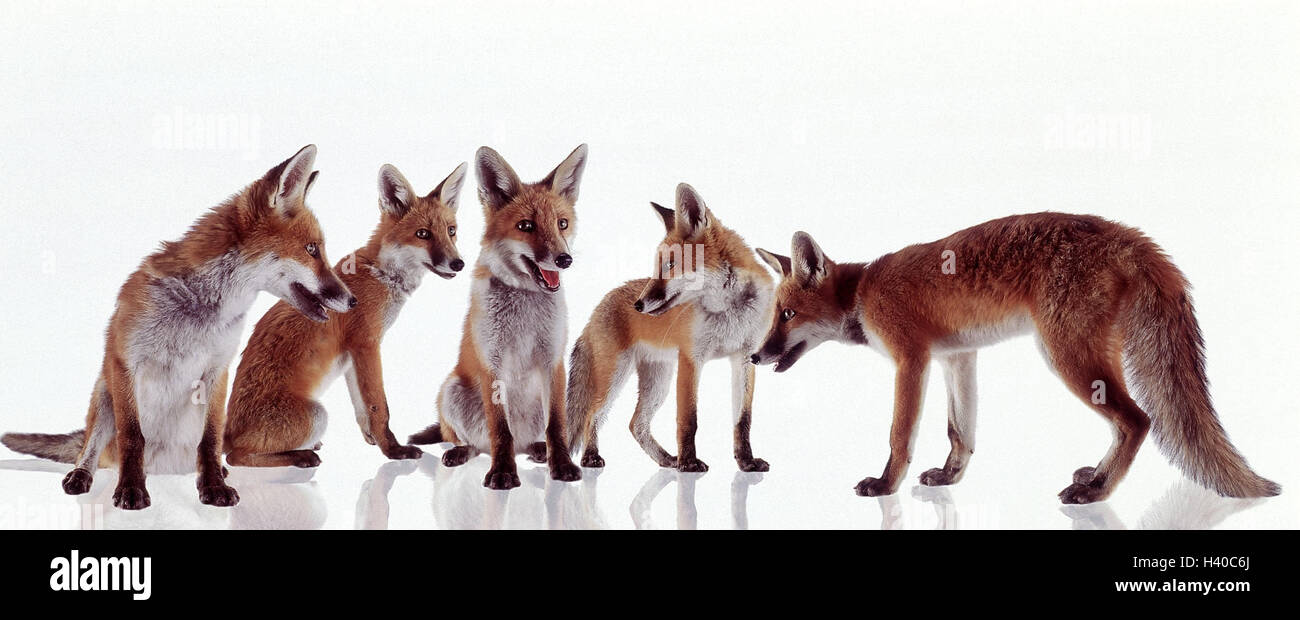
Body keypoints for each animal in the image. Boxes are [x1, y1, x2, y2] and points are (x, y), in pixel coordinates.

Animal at [0, 145, 355, 509]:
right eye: (312, 250)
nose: (353, 300)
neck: (197, 314)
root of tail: (165, 467)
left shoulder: (218, 370)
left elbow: (210, 441)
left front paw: (213, 486)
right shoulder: (126, 362)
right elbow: (133, 437)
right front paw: (130, 489)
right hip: (103, 394)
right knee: (90, 447)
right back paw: (81, 475)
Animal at [223, 161, 468, 468]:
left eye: (451, 231)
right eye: (423, 234)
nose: (458, 263)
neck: (380, 275)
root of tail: (227, 432)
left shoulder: (352, 354)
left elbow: (362, 408)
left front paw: (374, 440)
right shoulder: (366, 342)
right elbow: (379, 406)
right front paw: (393, 451)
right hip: (317, 415)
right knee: (235, 457)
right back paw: (300, 456)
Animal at [408, 145, 588, 489]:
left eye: (562, 223)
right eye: (526, 226)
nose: (565, 259)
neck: (525, 308)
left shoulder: (553, 359)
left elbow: (557, 427)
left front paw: (560, 465)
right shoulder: (493, 362)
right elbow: (500, 432)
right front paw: (503, 472)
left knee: (526, 441)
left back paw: (537, 451)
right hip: (450, 389)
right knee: (472, 442)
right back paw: (462, 452)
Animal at [565, 183, 775, 473]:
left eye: (672, 265)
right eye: (657, 266)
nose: (638, 304)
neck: (729, 311)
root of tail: (597, 307)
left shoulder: (744, 358)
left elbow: (743, 420)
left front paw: (746, 462)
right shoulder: (691, 358)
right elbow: (688, 419)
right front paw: (689, 462)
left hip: (659, 380)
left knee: (636, 424)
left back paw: (665, 458)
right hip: (615, 377)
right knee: (592, 415)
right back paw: (590, 456)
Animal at [750, 213, 1281, 504]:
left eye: (787, 314)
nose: (755, 355)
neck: (863, 293)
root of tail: (1126, 234)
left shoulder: (912, 359)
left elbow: (900, 435)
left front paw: (885, 485)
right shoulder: (958, 357)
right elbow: (960, 433)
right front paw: (949, 478)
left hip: (1066, 356)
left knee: (1138, 420)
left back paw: (1097, 491)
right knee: (1126, 424)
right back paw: (1096, 475)